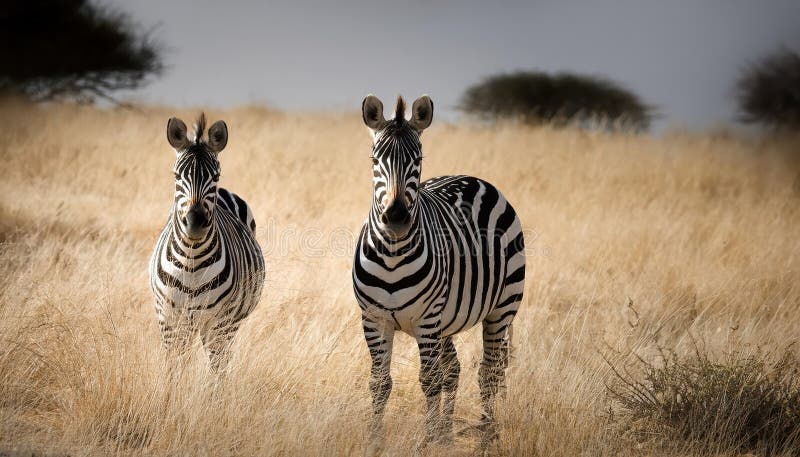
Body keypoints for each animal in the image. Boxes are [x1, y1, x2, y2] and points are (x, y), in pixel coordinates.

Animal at [149, 113, 265, 372]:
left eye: (216, 176)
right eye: (176, 176)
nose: (195, 222)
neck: (191, 260)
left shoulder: (220, 322)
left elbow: (216, 371)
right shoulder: (168, 319)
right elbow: (173, 369)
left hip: (227, 323)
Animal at [353, 95, 526, 447]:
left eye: (418, 159)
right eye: (375, 159)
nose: (396, 218)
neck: (392, 256)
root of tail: (473, 178)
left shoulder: (426, 319)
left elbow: (429, 380)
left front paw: (429, 440)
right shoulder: (374, 319)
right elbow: (380, 382)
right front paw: (375, 441)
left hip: (501, 308)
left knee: (489, 372)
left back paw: (486, 436)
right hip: (447, 321)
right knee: (455, 369)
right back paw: (448, 433)